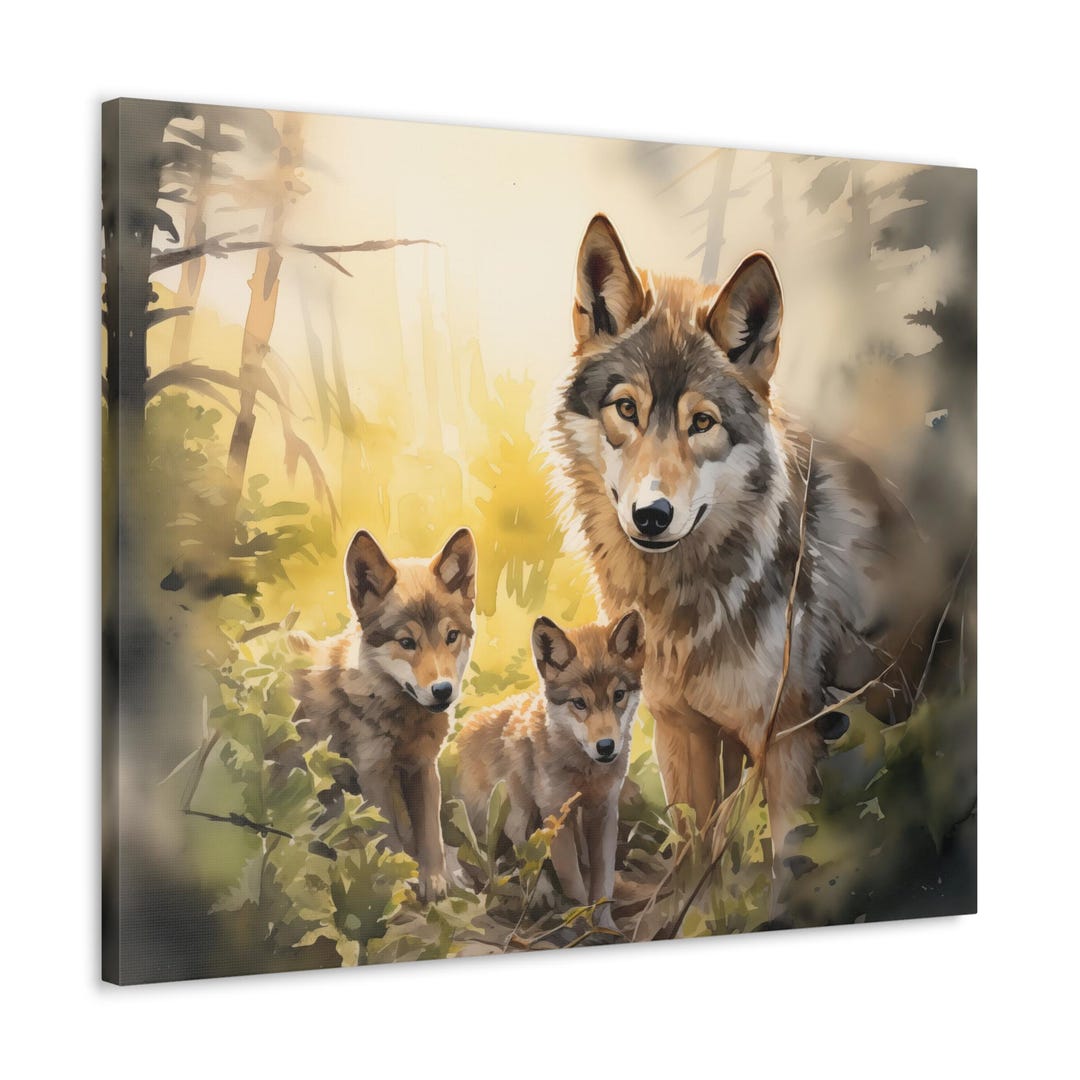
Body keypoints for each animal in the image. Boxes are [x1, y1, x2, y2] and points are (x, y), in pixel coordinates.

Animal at [280, 527, 477, 902]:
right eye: (407, 642)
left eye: (451, 637)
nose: (443, 690)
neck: (403, 720)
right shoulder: (372, 773)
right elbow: (389, 835)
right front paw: (401, 879)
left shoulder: (423, 768)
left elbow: (429, 834)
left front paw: (434, 882)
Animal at [456, 610, 645, 929]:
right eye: (579, 702)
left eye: (618, 695)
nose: (606, 747)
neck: (584, 770)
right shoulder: (556, 815)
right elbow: (573, 883)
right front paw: (580, 922)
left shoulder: (603, 812)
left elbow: (602, 881)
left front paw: (605, 926)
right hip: (515, 803)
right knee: (515, 841)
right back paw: (540, 891)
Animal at [551, 214, 934, 864]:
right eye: (626, 409)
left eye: (702, 423)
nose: (652, 514)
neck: (687, 606)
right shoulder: (681, 732)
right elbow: (693, 860)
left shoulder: (787, 742)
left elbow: (788, 865)